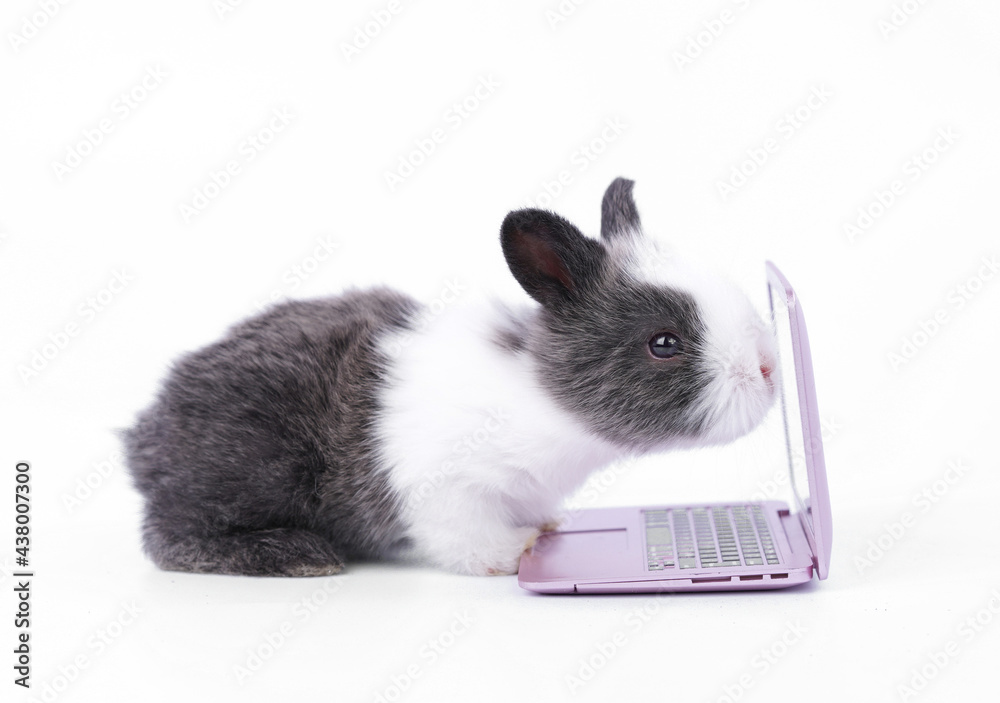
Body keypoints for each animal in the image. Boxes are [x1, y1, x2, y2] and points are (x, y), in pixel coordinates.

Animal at [123, 177, 778, 577]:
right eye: (664, 343)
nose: (769, 369)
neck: (540, 399)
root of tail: (143, 436)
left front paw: (545, 527)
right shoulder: (447, 488)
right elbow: (466, 539)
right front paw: (516, 552)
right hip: (249, 471)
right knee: (168, 535)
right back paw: (296, 555)